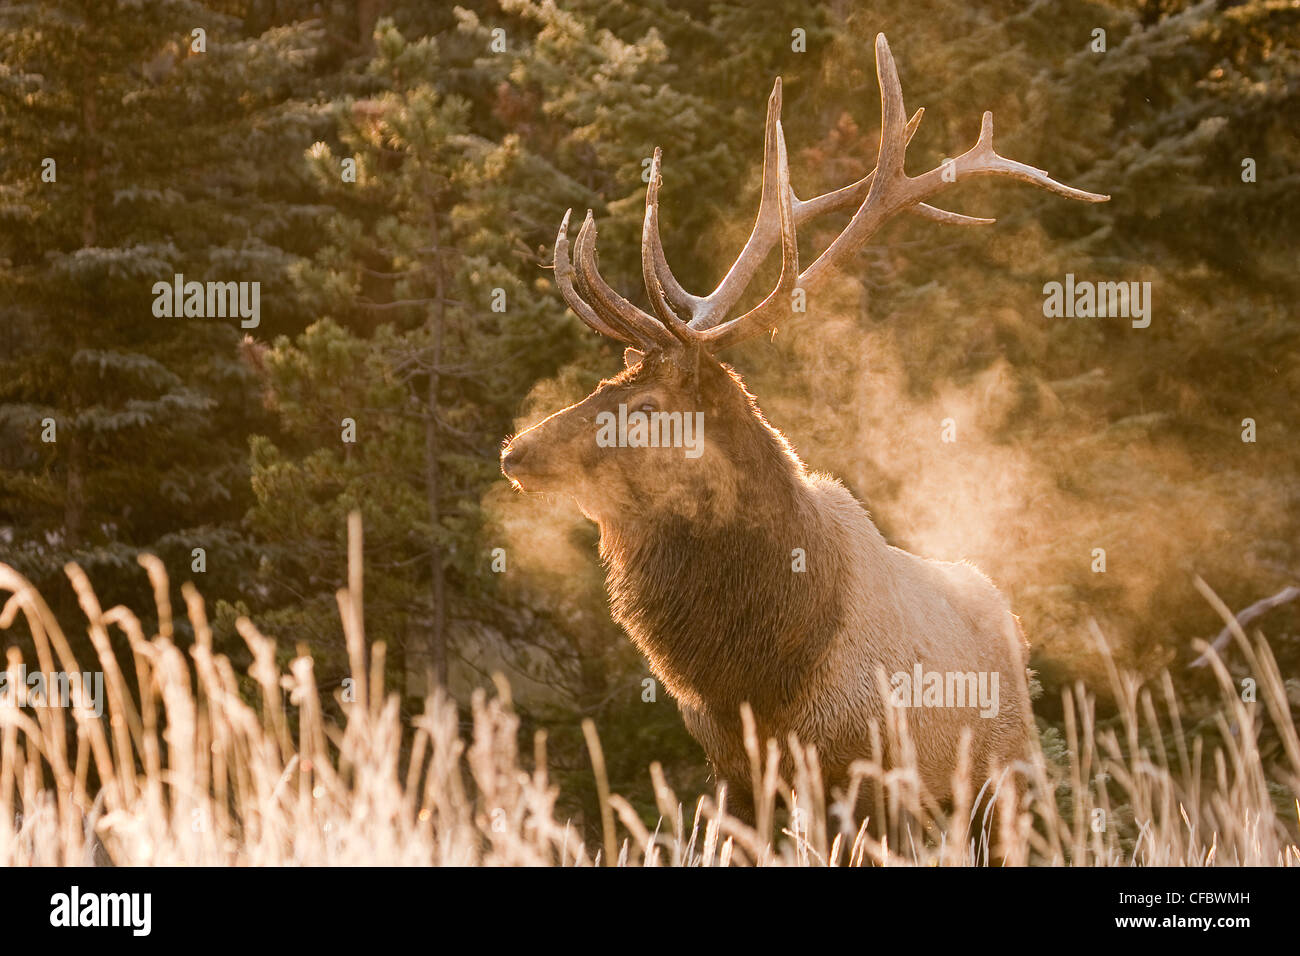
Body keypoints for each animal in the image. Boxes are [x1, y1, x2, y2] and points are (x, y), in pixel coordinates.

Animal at [501, 35, 1108, 834]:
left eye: (645, 406)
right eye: (608, 383)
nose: (515, 450)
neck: (759, 675)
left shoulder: (868, 774)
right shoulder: (733, 776)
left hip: (1008, 789)